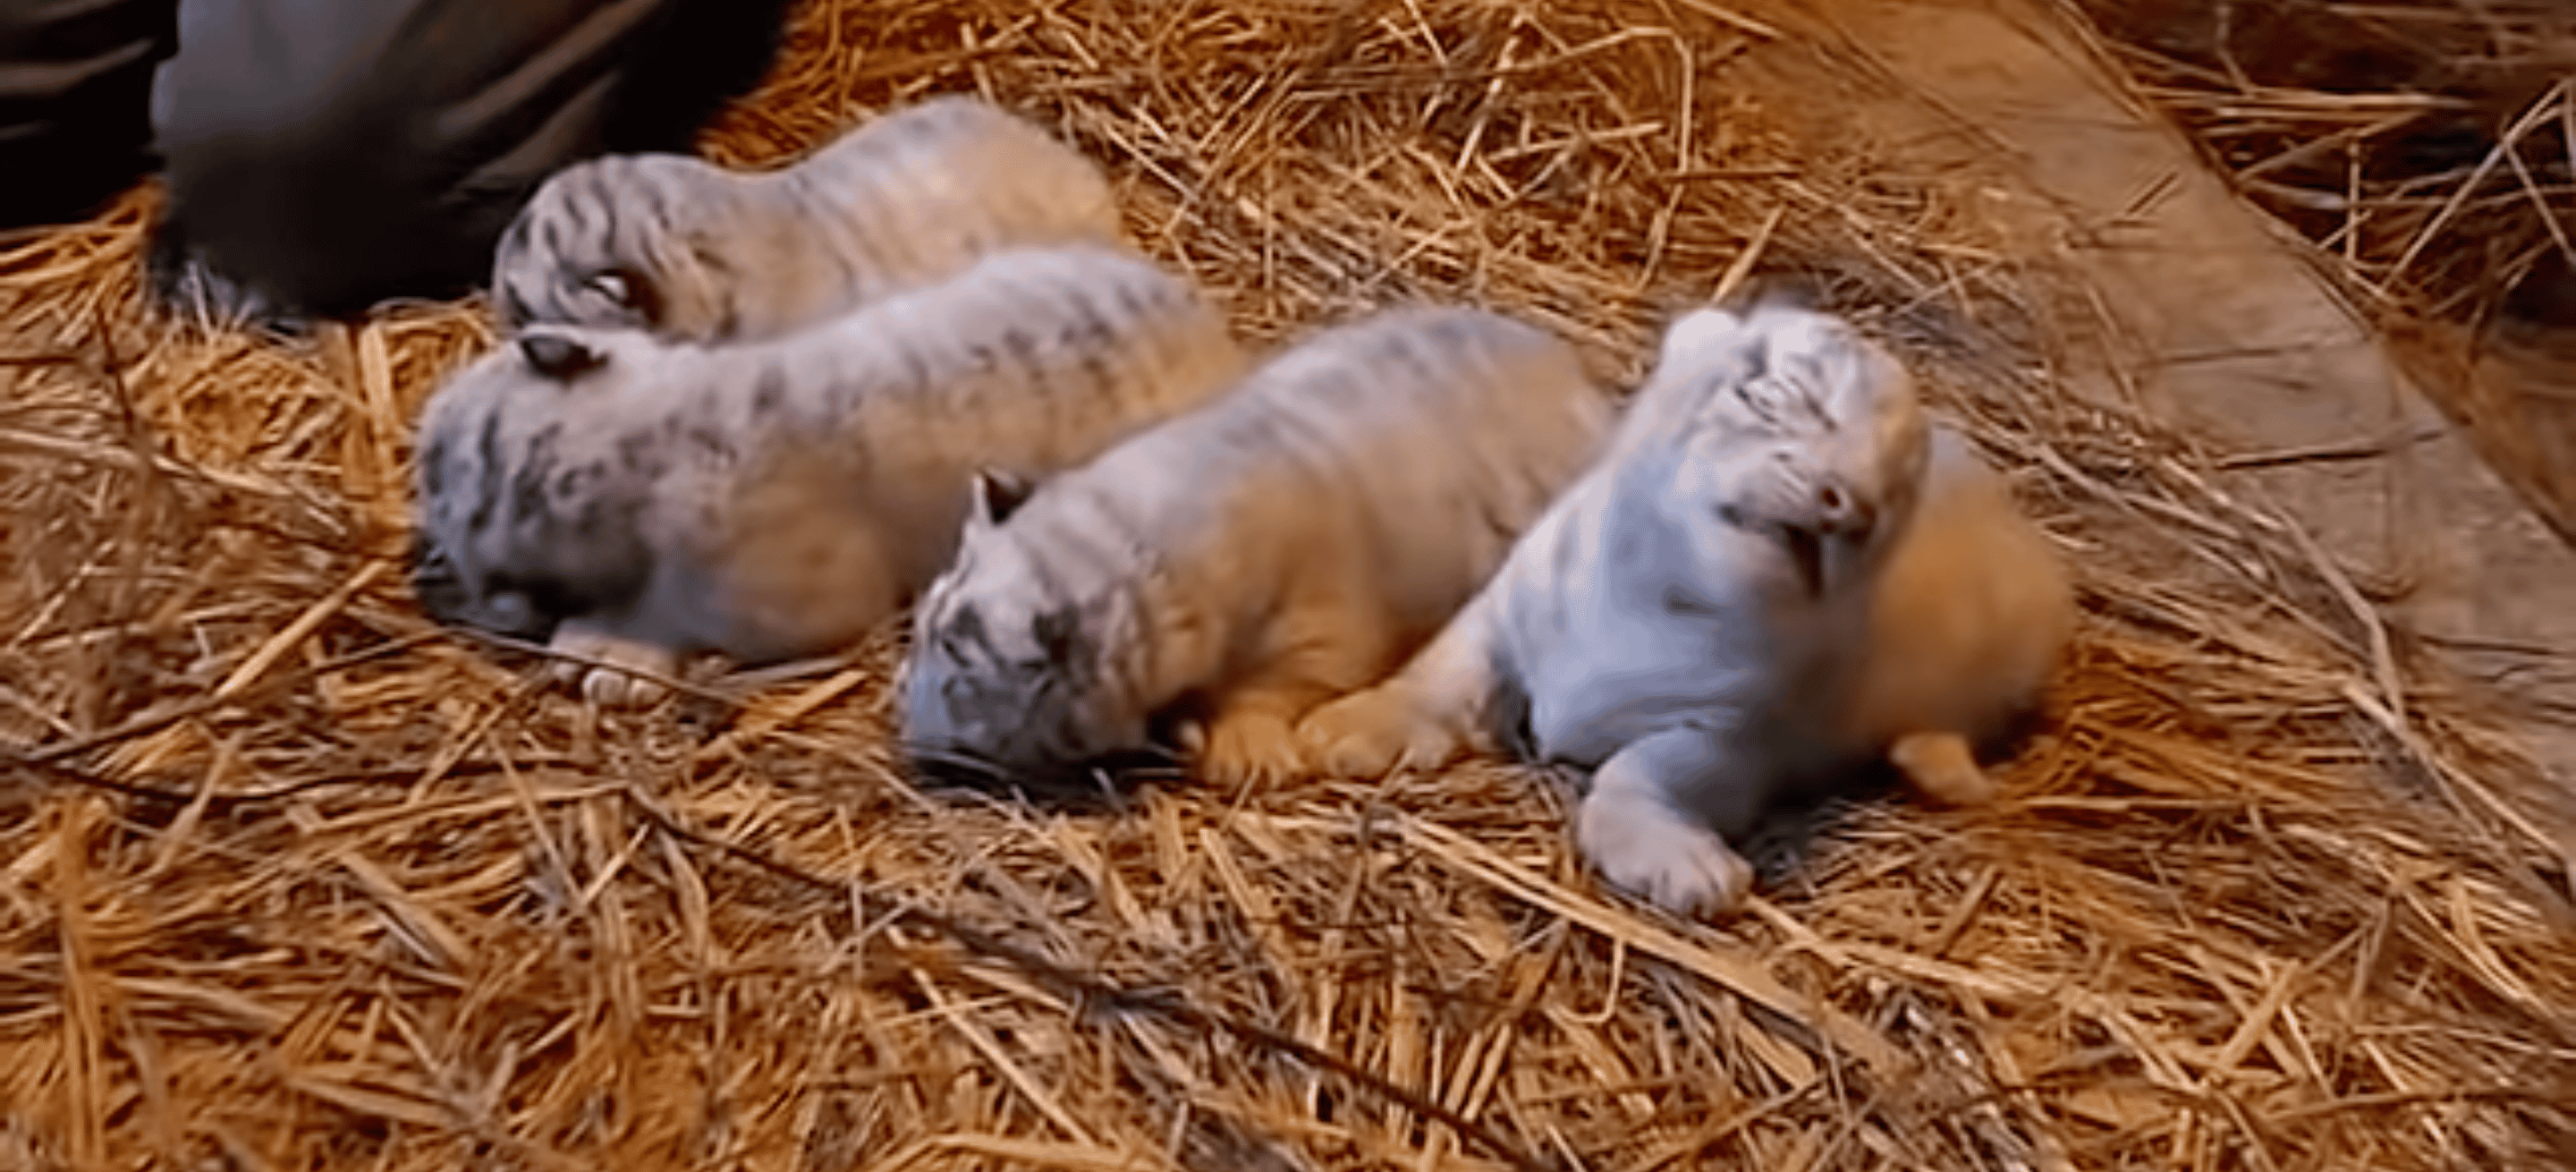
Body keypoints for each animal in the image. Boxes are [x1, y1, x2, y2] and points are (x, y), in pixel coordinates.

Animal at [895, 306, 1620, 791]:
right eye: (929, 625)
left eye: (960, 658)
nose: (903, 721)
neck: (1122, 544)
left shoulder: (1326, 632)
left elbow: (1276, 688)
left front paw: (1244, 752)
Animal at [1296, 294, 2072, 919]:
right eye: (1781, 394)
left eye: (1894, 488)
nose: (1852, 506)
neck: (1657, 595)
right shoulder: (1505, 606)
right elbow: (1442, 675)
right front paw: (1341, 729)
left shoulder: (1731, 737)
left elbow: (1640, 772)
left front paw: (1693, 874)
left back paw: (1939, 770)